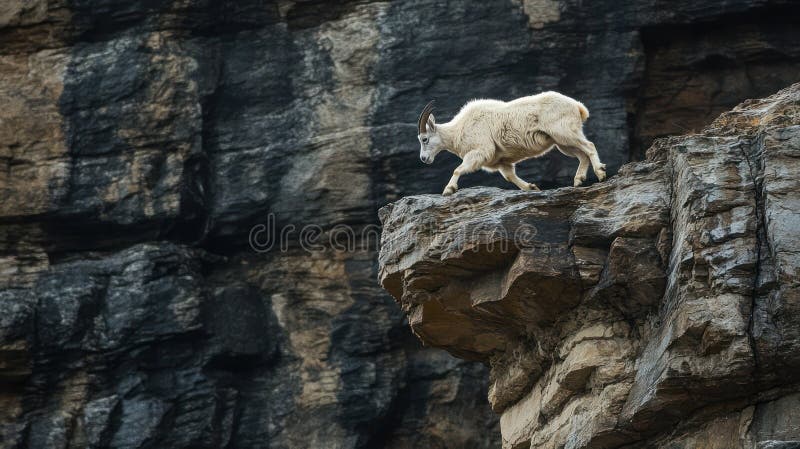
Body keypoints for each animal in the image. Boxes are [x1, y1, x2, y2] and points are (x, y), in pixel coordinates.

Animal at [416, 92, 606, 196]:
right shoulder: (501, 162)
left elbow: (458, 169)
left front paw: (448, 190)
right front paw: (531, 187)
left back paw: (601, 173)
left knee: (589, 146)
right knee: (582, 154)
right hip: (562, 143)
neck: (458, 130)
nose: (424, 159)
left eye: (424, 139)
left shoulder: (480, 151)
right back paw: (579, 181)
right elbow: (510, 176)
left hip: (564, 132)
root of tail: (578, 107)